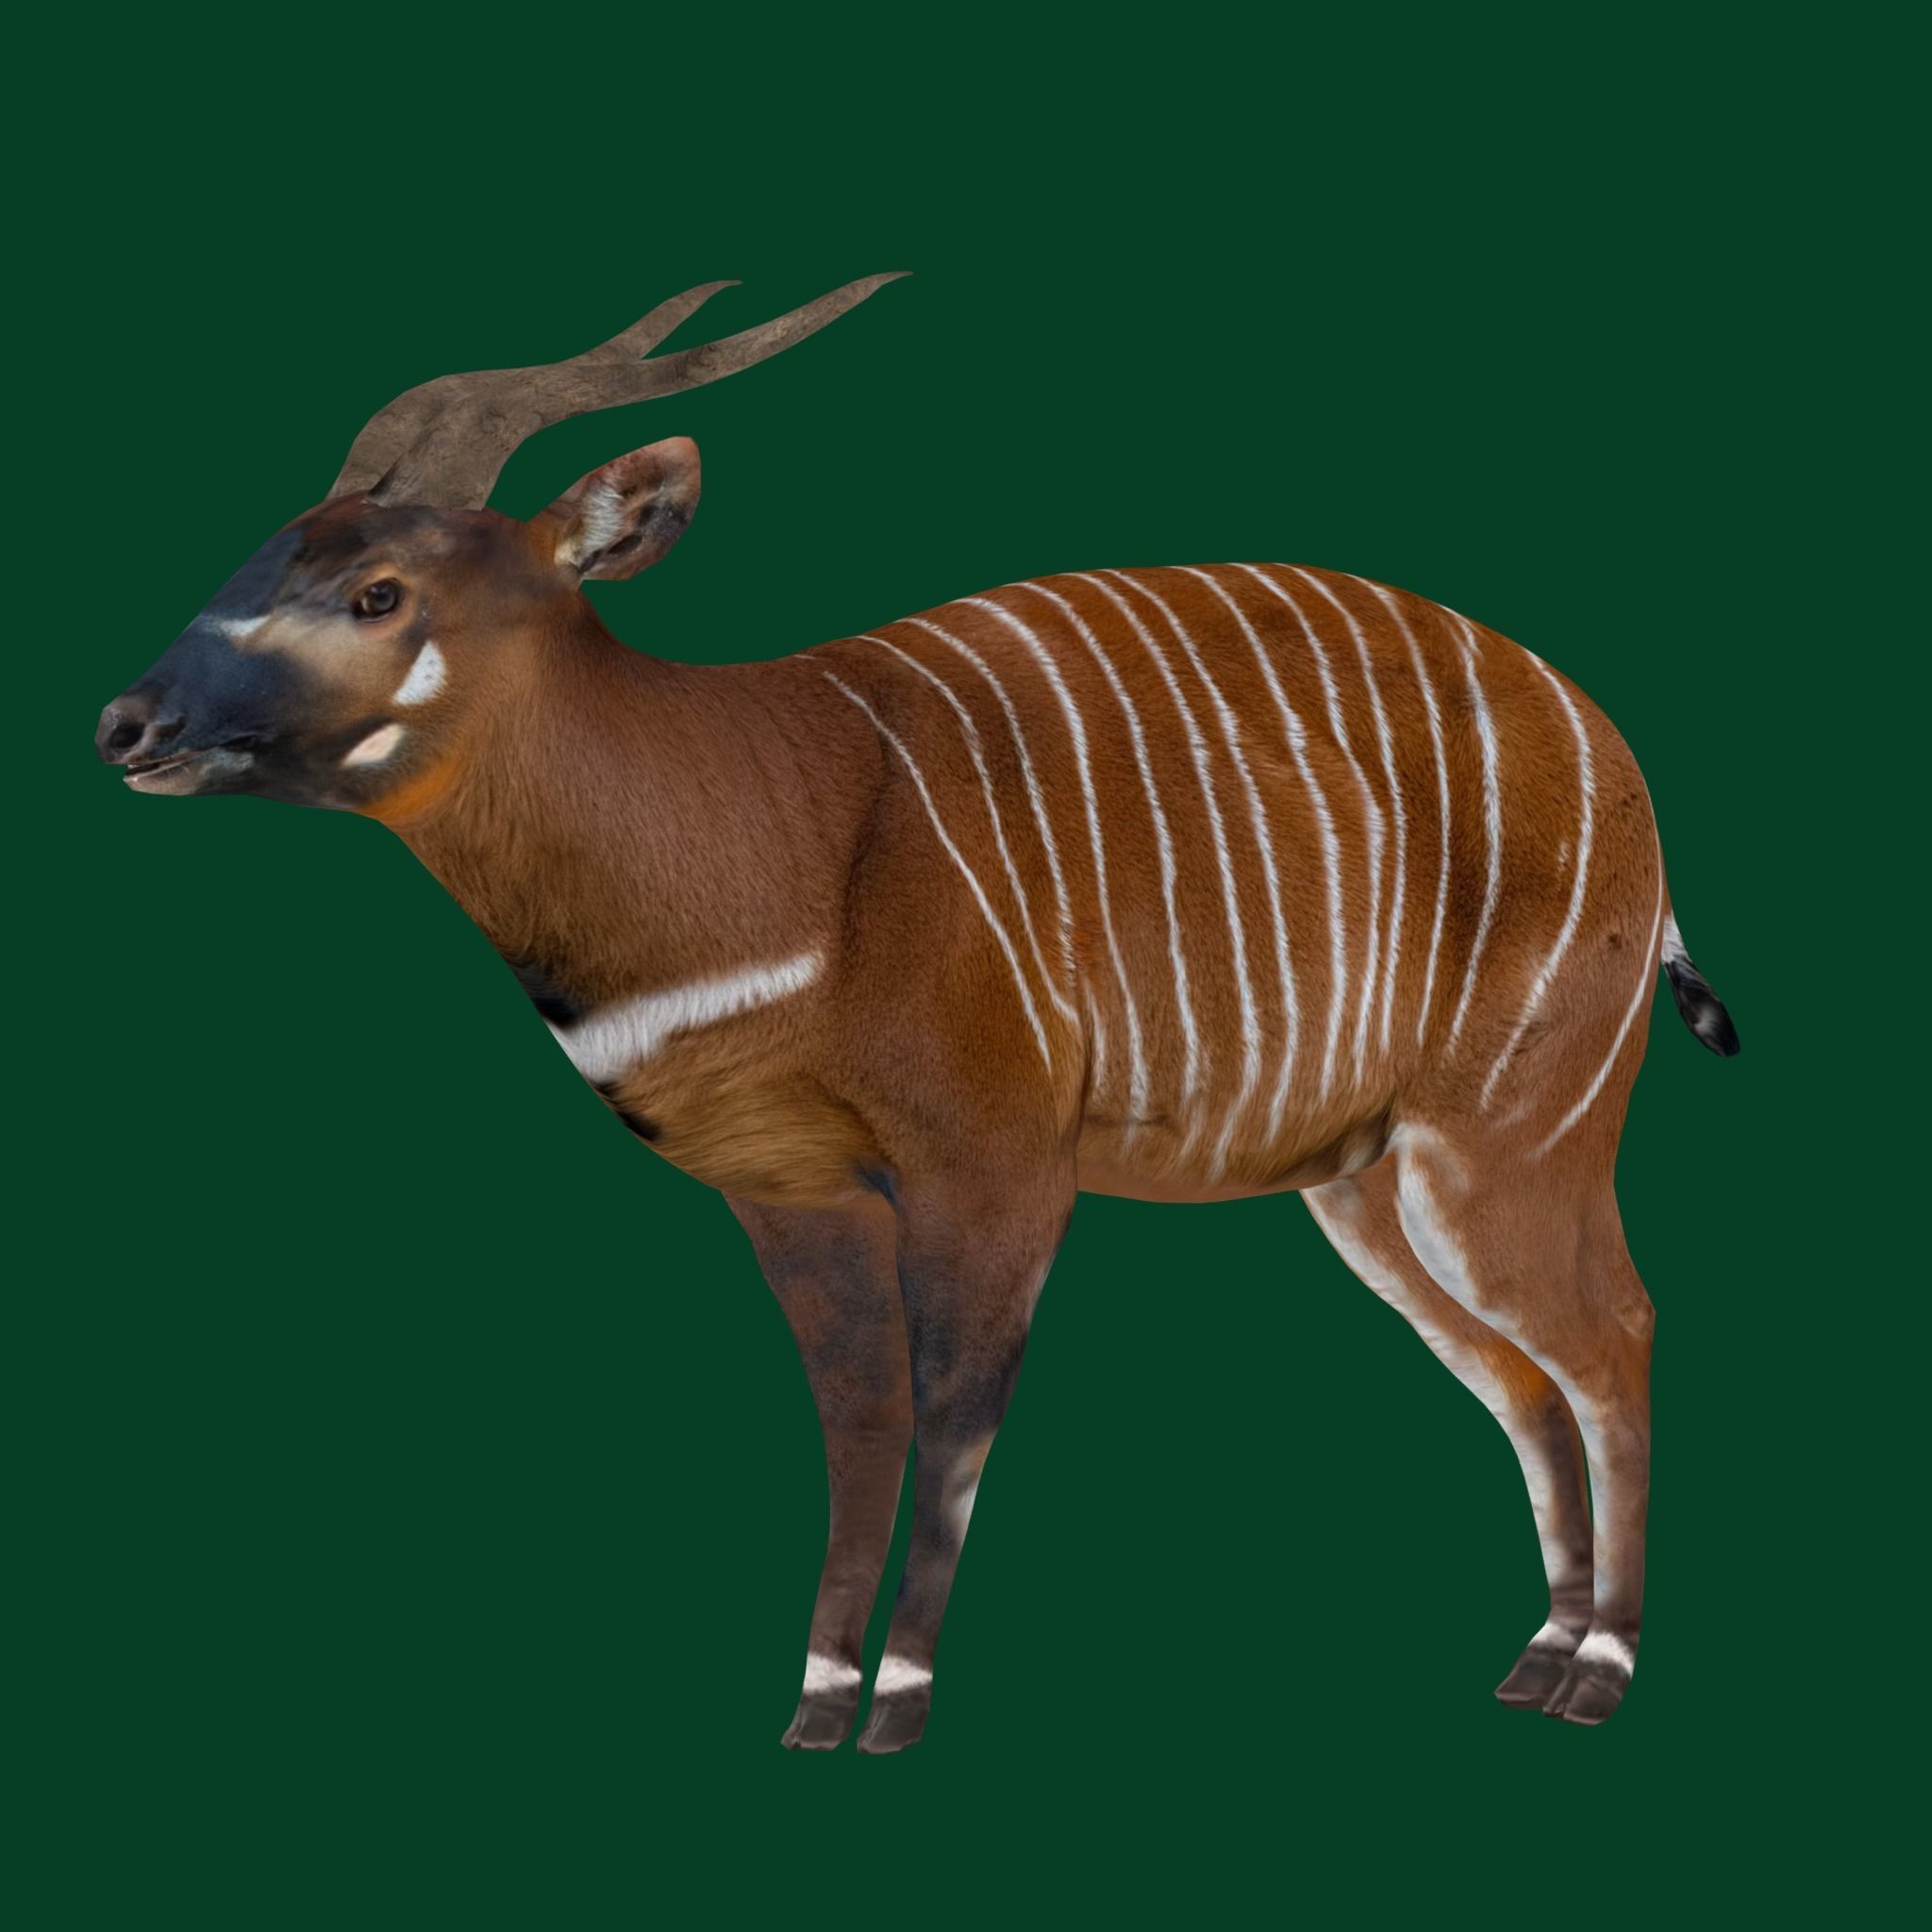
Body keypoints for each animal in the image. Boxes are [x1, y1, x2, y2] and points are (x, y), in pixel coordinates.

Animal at [95, 272, 1739, 1749]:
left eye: (377, 593)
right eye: (260, 553)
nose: (126, 724)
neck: (787, 840)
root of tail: (1625, 773)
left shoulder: (997, 1167)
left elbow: (954, 1416)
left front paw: (896, 1702)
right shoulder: (794, 1193)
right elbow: (861, 1419)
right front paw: (816, 1702)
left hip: (1512, 1139)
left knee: (1616, 1330)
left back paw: (1599, 1672)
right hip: (1369, 1188)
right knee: (1522, 1371)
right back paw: (1539, 1655)